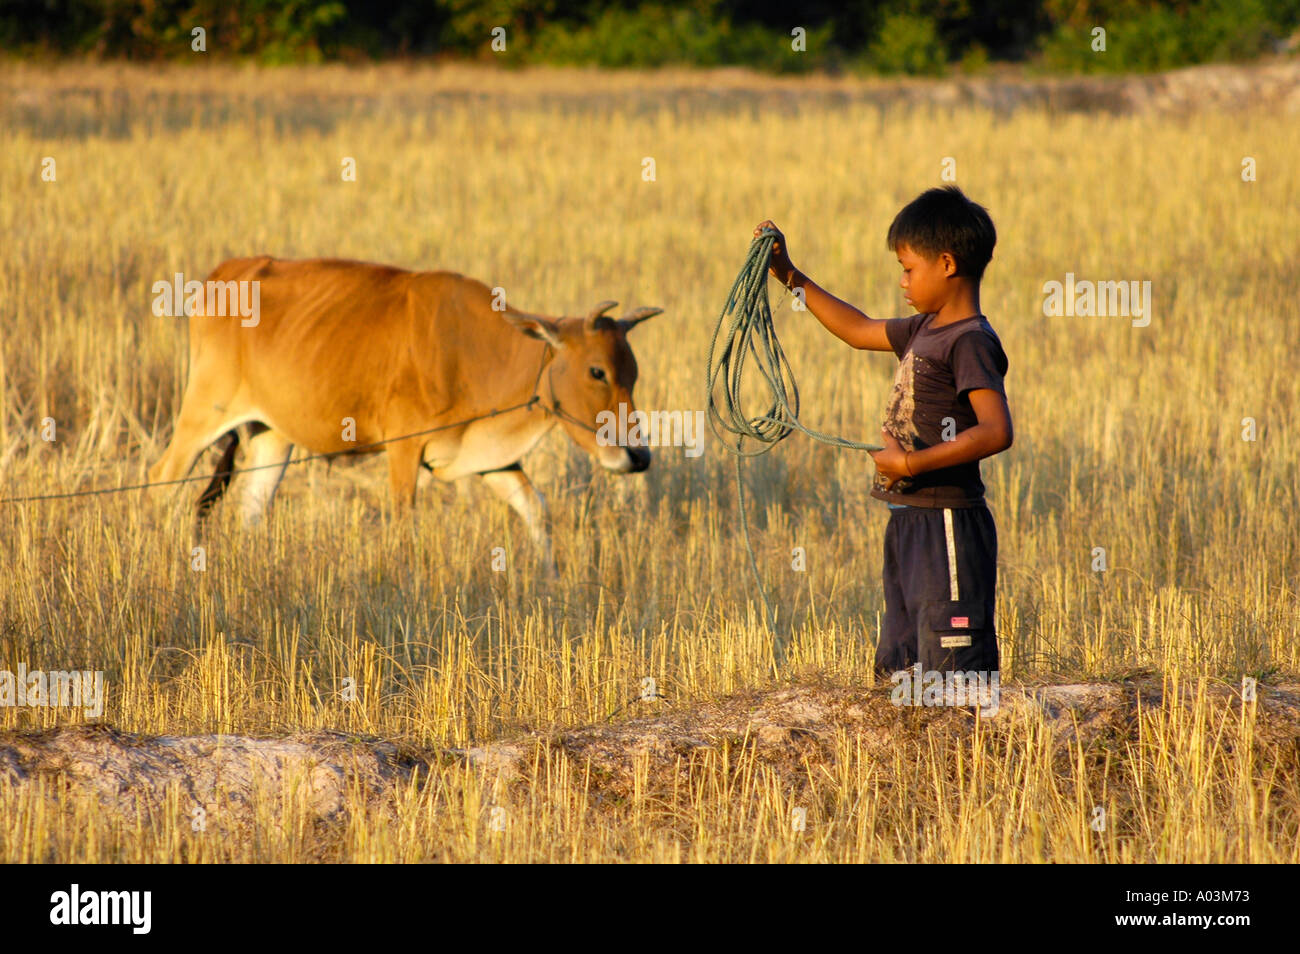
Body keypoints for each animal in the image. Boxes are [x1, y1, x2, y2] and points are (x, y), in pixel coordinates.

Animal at [148, 256, 662, 571]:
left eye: (633, 374)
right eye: (597, 371)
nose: (638, 457)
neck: (478, 352)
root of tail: (224, 272)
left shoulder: (491, 458)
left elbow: (536, 510)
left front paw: (550, 579)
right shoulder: (404, 449)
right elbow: (403, 523)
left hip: (271, 435)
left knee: (253, 506)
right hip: (203, 411)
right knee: (161, 481)